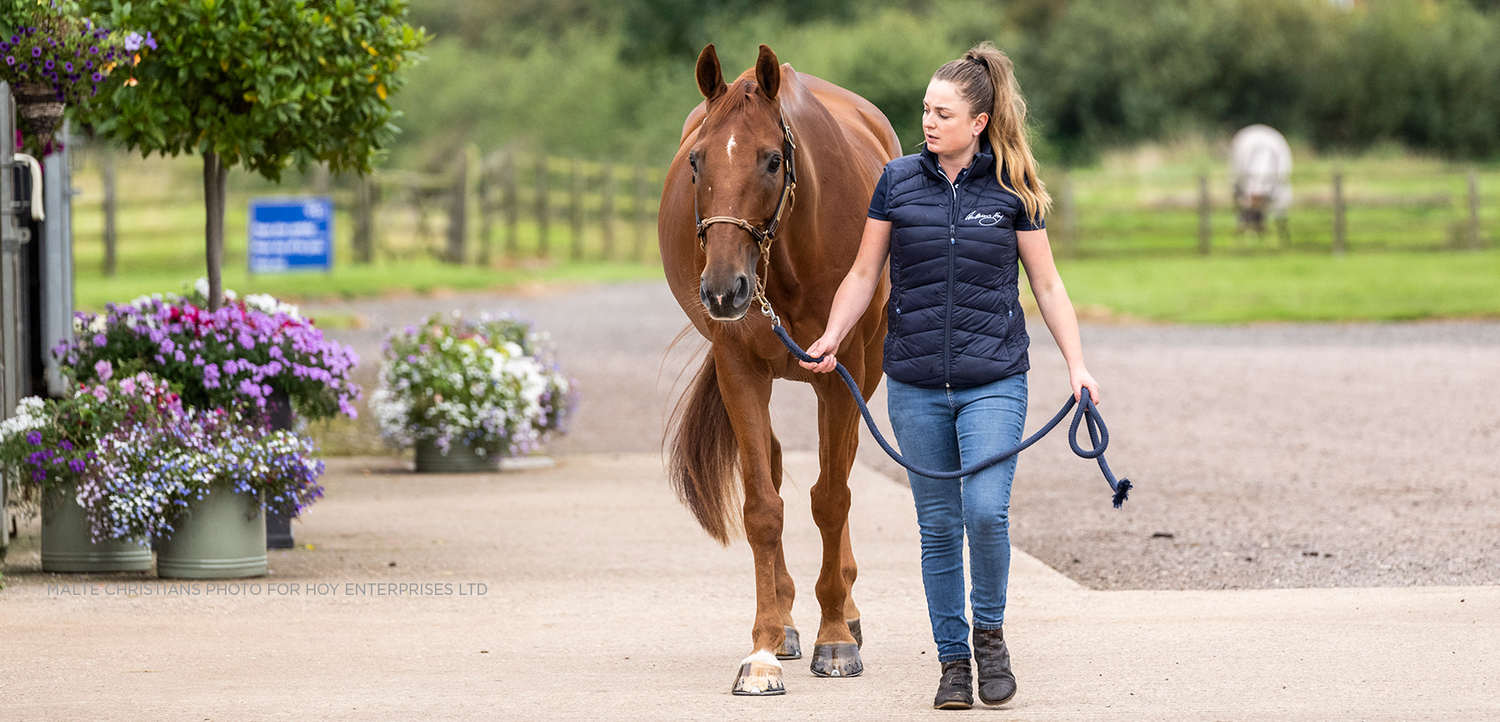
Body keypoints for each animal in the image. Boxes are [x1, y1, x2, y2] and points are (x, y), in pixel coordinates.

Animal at [659, 44, 900, 695]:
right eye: (696, 161)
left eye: (772, 160)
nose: (723, 290)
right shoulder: (738, 366)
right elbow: (763, 508)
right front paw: (764, 647)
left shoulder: (841, 370)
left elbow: (832, 498)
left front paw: (836, 638)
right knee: (767, 463)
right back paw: (791, 620)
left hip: (863, 370)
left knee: (839, 471)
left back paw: (845, 609)